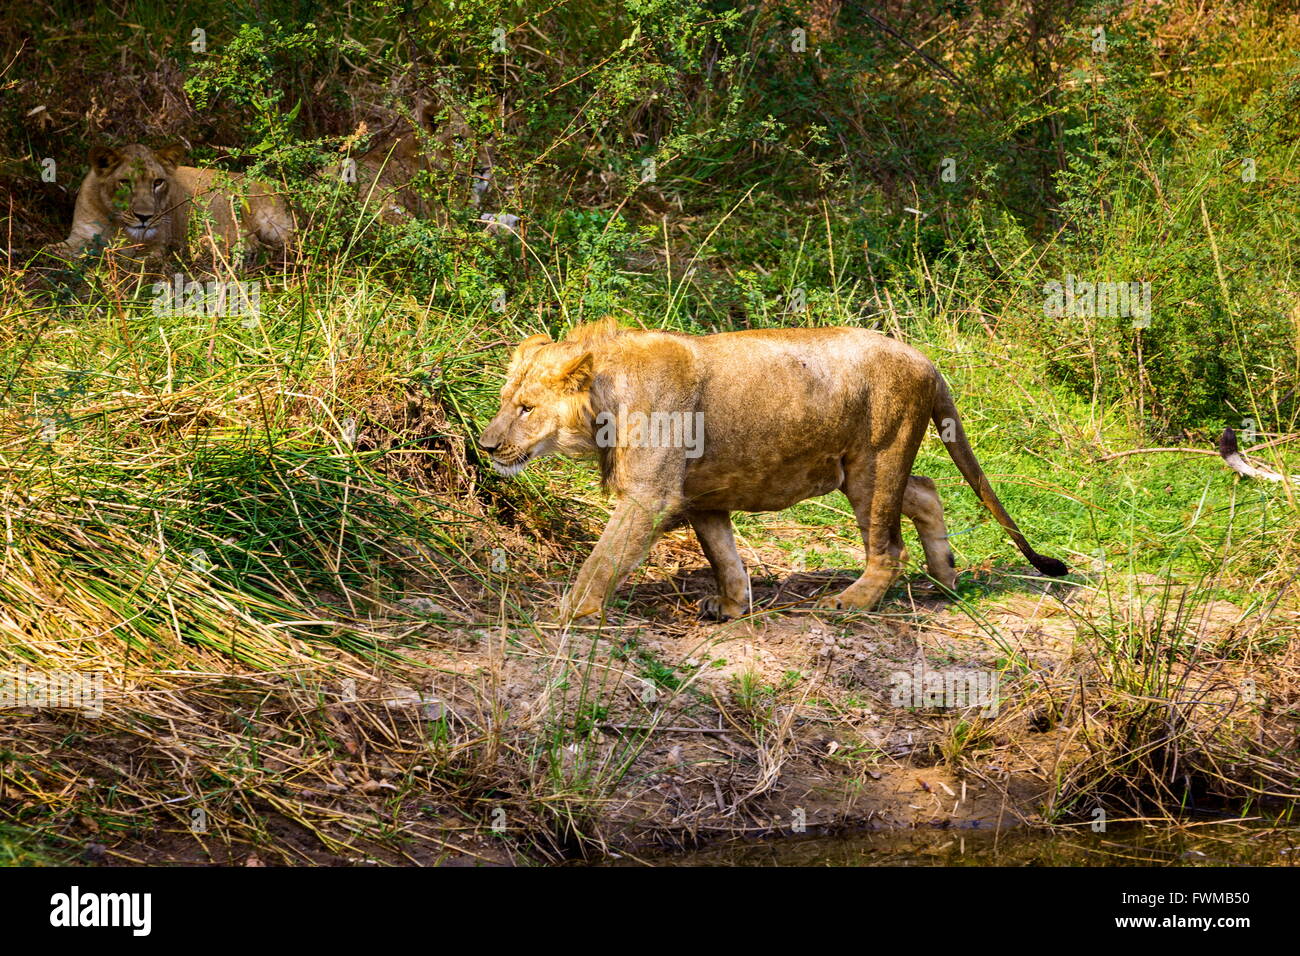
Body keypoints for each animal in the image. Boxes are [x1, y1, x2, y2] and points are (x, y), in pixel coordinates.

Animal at [50, 144, 294, 262]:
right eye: (125, 182)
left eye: (158, 182)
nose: (144, 217)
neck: (116, 224)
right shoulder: (80, 235)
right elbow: (52, 250)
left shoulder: (158, 245)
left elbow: (136, 260)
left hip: (272, 225)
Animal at [478, 319, 1068, 622]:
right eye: (506, 402)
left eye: (527, 408)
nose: (486, 445)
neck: (606, 399)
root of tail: (926, 360)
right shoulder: (702, 495)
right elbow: (724, 556)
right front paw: (733, 605)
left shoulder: (651, 494)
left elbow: (602, 560)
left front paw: (572, 611)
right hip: (860, 469)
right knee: (925, 490)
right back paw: (945, 578)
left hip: (875, 463)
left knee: (889, 547)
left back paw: (850, 602)